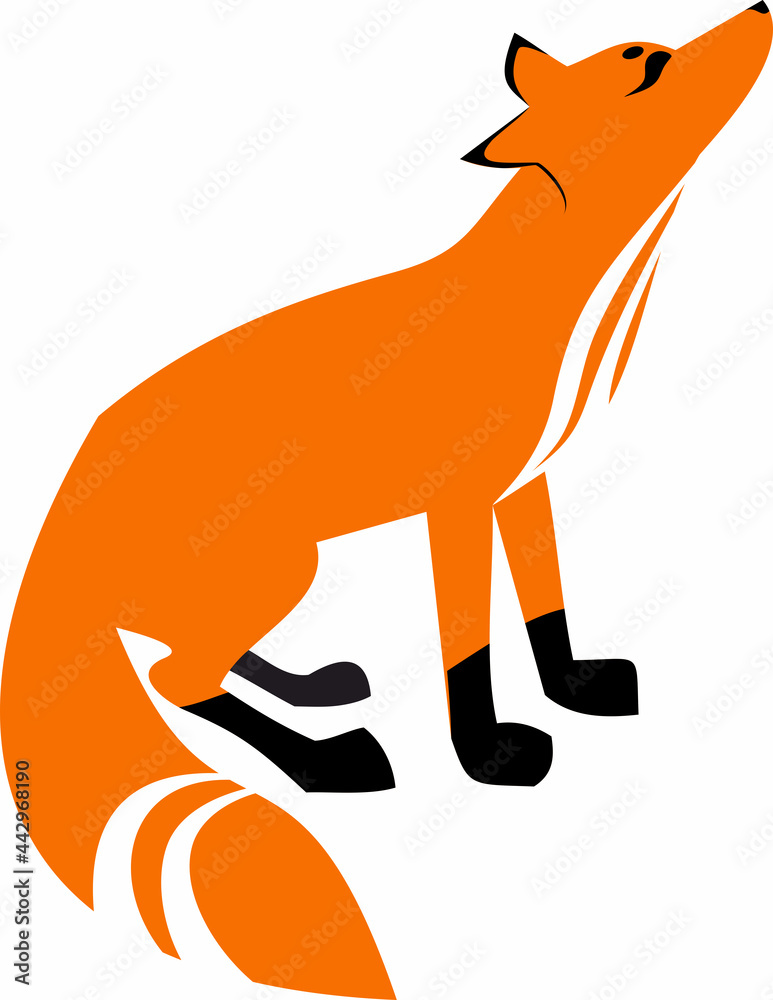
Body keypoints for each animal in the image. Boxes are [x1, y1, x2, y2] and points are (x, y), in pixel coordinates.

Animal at [2, 6, 771, 998]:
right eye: (649, 65)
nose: (757, 12)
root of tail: (57, 507)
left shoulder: (526, 488)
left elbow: (547, 610)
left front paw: (574, 688)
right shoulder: (458, 505)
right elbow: (470, 654)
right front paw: (490, 757)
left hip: (263, 577)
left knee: (187, 655)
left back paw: (315, 686)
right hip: (282, 565)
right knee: (179, 676)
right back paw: (326, 759)